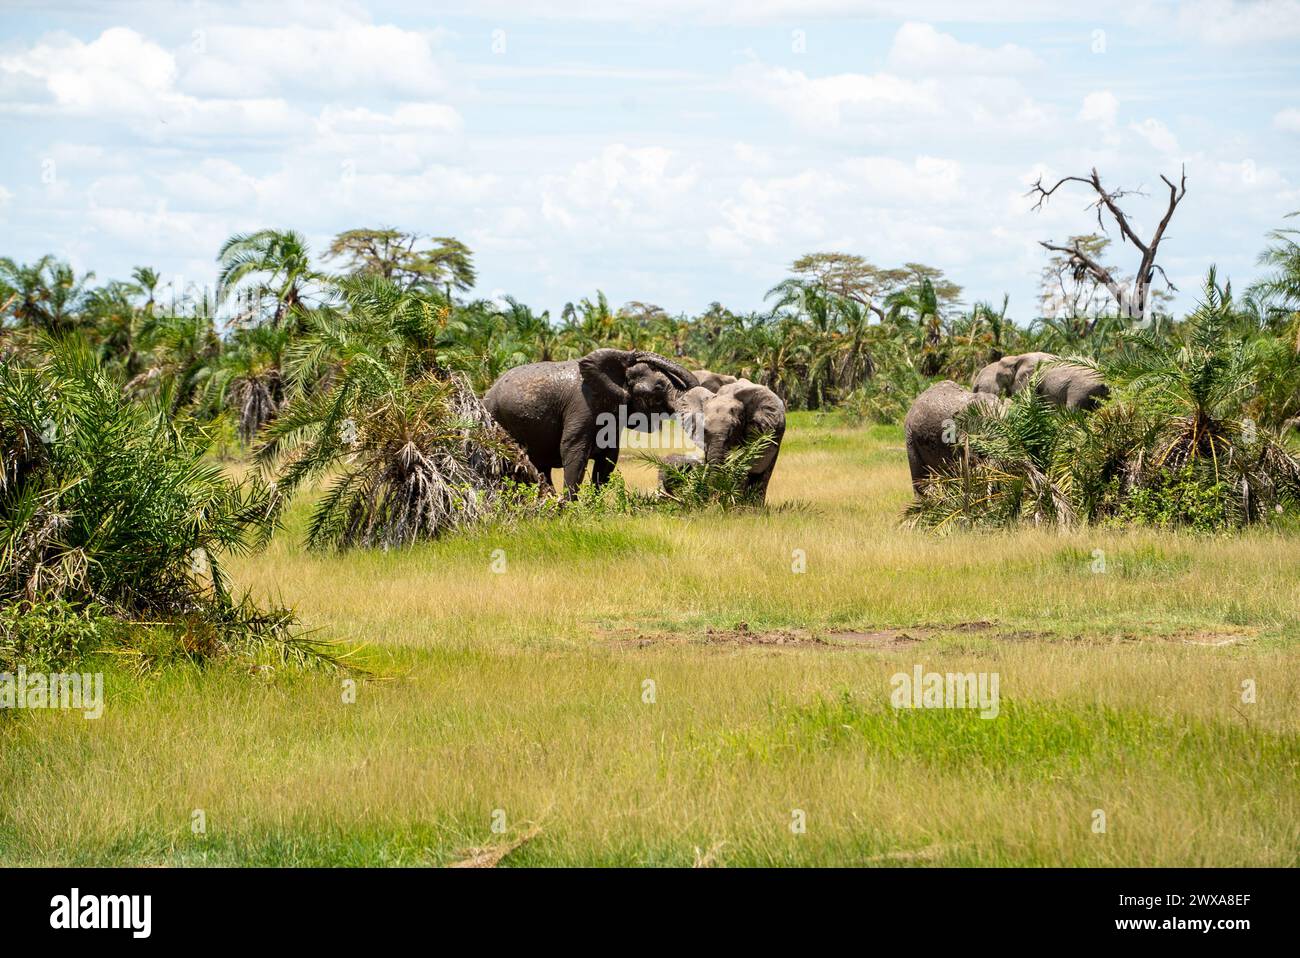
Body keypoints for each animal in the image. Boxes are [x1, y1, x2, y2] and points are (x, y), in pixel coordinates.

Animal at [483, 348, 698, 494]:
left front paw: (594, 507)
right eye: (659, 387)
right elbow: (573, 452)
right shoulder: (582, 405)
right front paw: (569, 512)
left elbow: (608, 461)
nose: (634, 353)